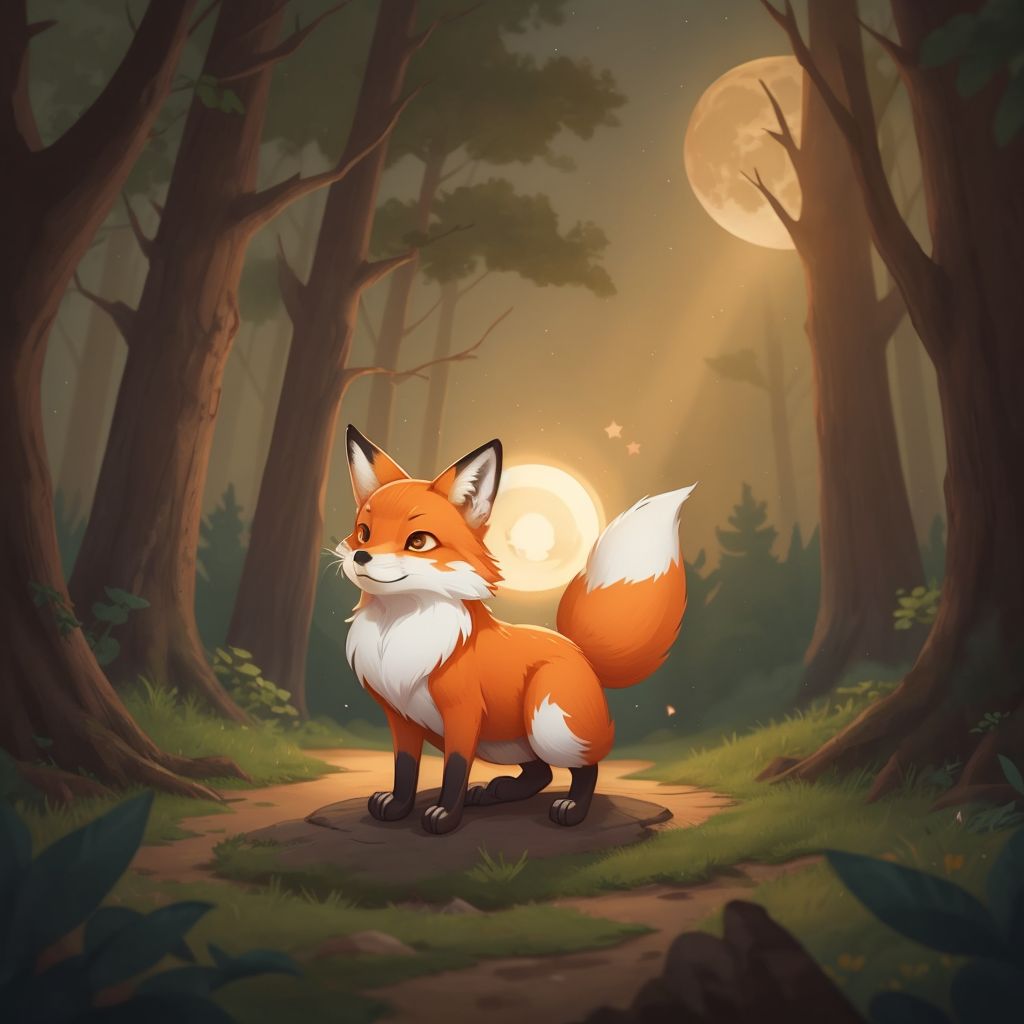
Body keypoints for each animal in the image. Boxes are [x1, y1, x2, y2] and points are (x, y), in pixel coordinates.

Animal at [335, 424, 695, 835]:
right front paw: (398, 806)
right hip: (502, 742)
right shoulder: (401, 718)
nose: (361, 556)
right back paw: (496, 792)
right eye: (364, 532)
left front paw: (445, 816)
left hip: (547, 722)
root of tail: (578, 650)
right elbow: (406, 769)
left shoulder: (463, 714)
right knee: (540, 773)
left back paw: (573, 808)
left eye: (419, 541)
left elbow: (454, 770)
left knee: (586, 766)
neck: (397, 633)